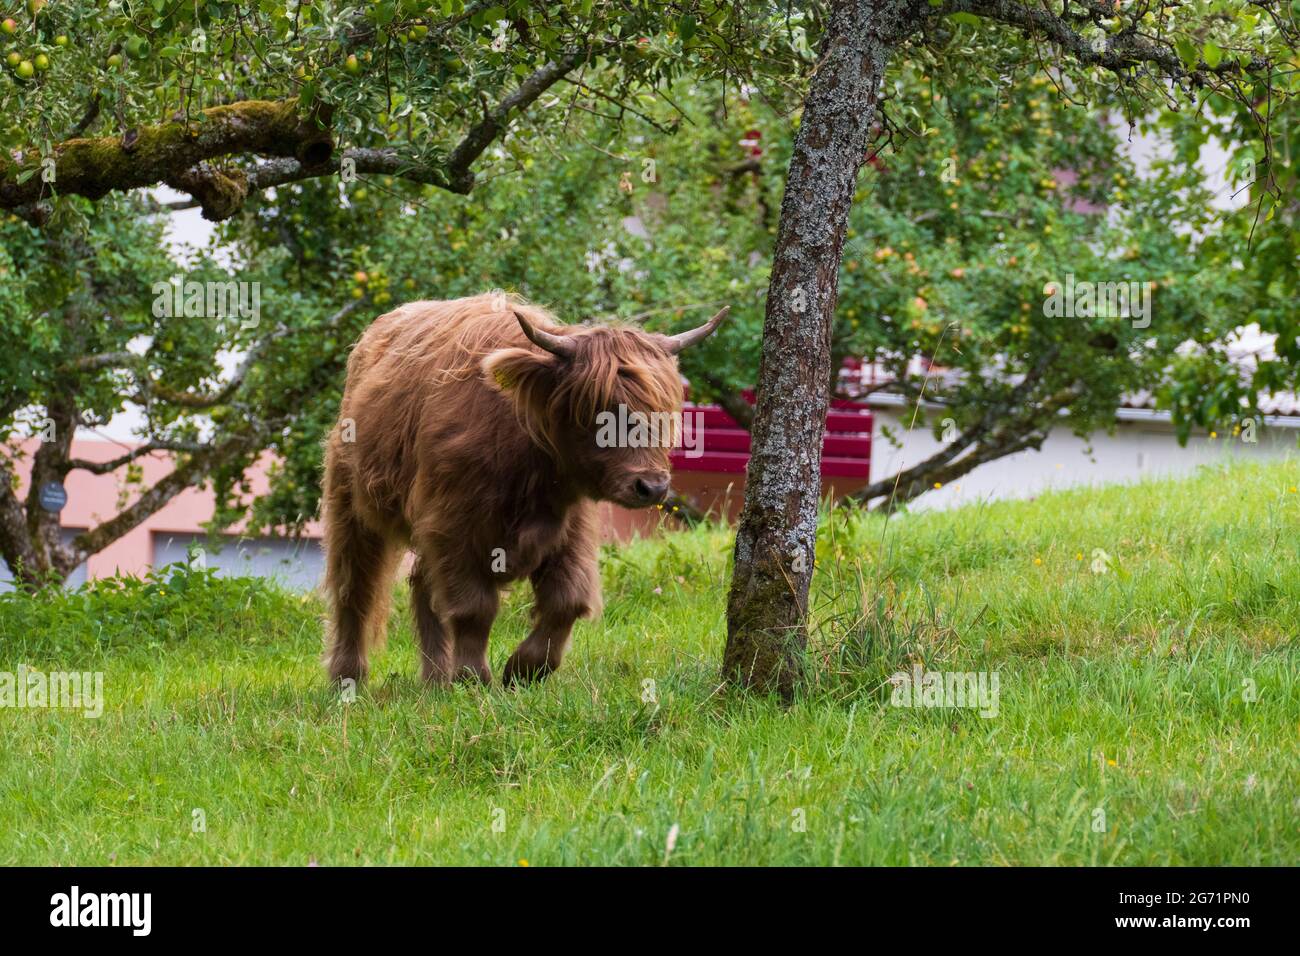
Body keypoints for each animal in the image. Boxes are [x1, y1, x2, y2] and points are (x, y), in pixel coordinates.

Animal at [321, 292, 728, 687]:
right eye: (601, 412)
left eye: (664, 412)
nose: (652, 487)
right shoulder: (453, 525)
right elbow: (473, 606)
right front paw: (473, 678)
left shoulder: (571, 525)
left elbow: (567, 601)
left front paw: (524, 669)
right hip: (350, 501)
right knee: (353, 587)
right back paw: (348, 679)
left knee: (421, 585)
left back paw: (435, 679)